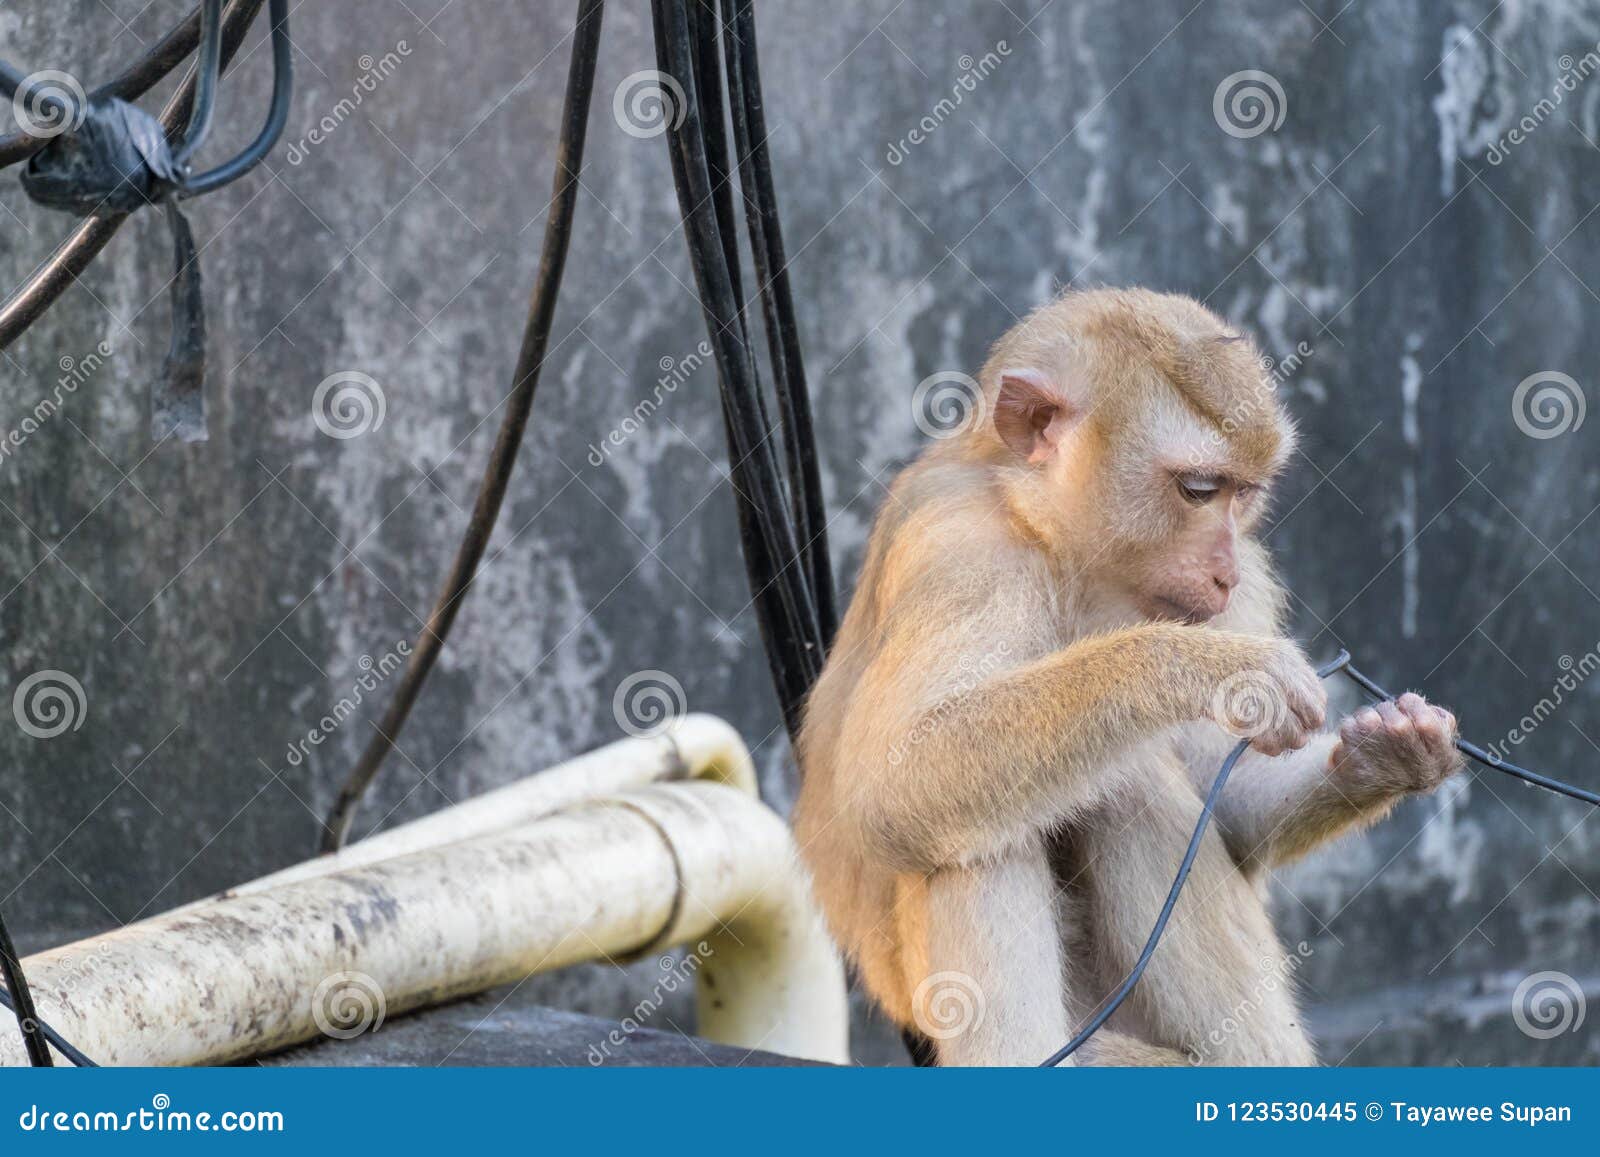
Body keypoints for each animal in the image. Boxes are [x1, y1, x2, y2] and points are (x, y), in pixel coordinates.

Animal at [792, 288, 1464, 1066]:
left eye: (1242, 496)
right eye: (1198, 491)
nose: (1224, 571)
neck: (1062, 549)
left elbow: (1230, 805)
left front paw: (1388, 750)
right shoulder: (958, 550)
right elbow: (890, 780)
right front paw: (1209, 669)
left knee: (1129, 789)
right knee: (994, 827)